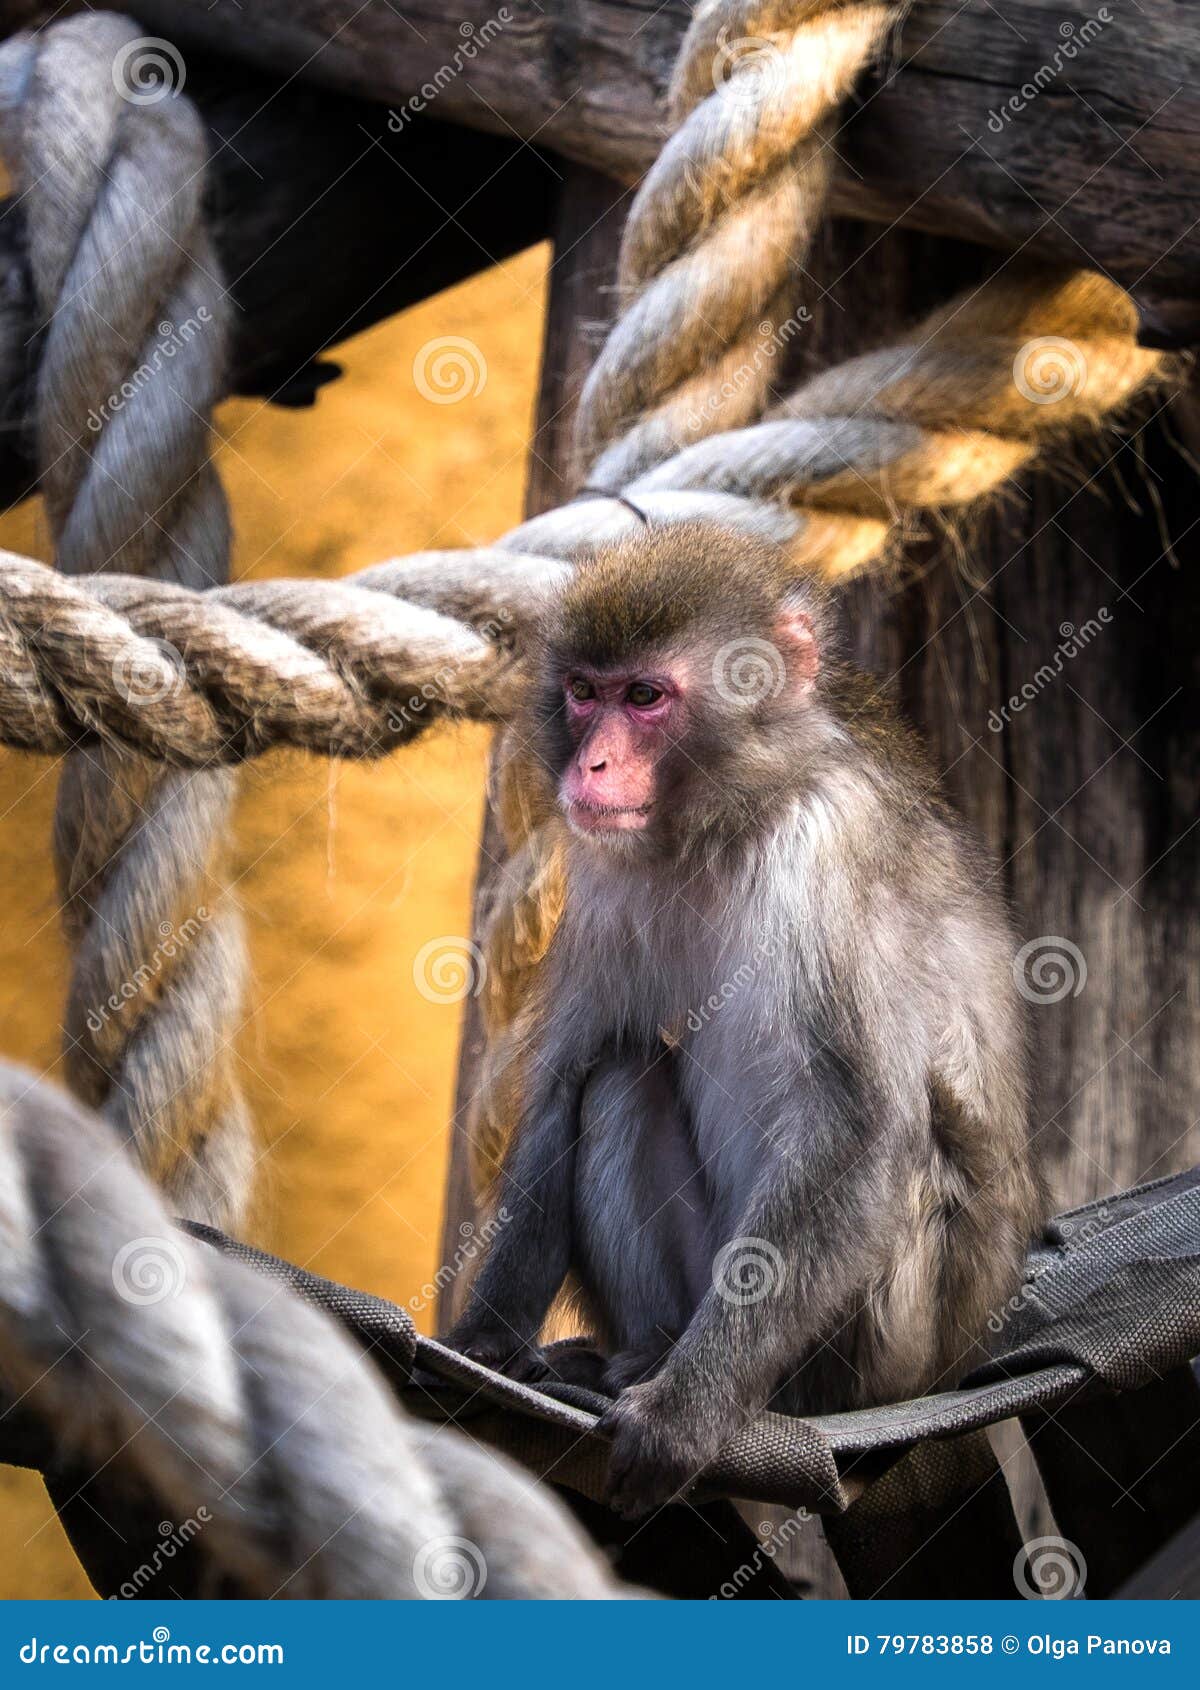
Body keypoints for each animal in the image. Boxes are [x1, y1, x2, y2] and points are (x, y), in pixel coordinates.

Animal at [448, 521, 1048, 1518]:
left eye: (645, 697)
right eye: (584, 693)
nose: (589, 766)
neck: (722, 820)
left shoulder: (829, 845)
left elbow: (856, 1128)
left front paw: (687, 1415)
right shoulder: (605, 875)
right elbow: (561, 1091)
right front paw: (485, 1343)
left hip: (879, 1344)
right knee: (621, 1076)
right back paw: (636, 1355)